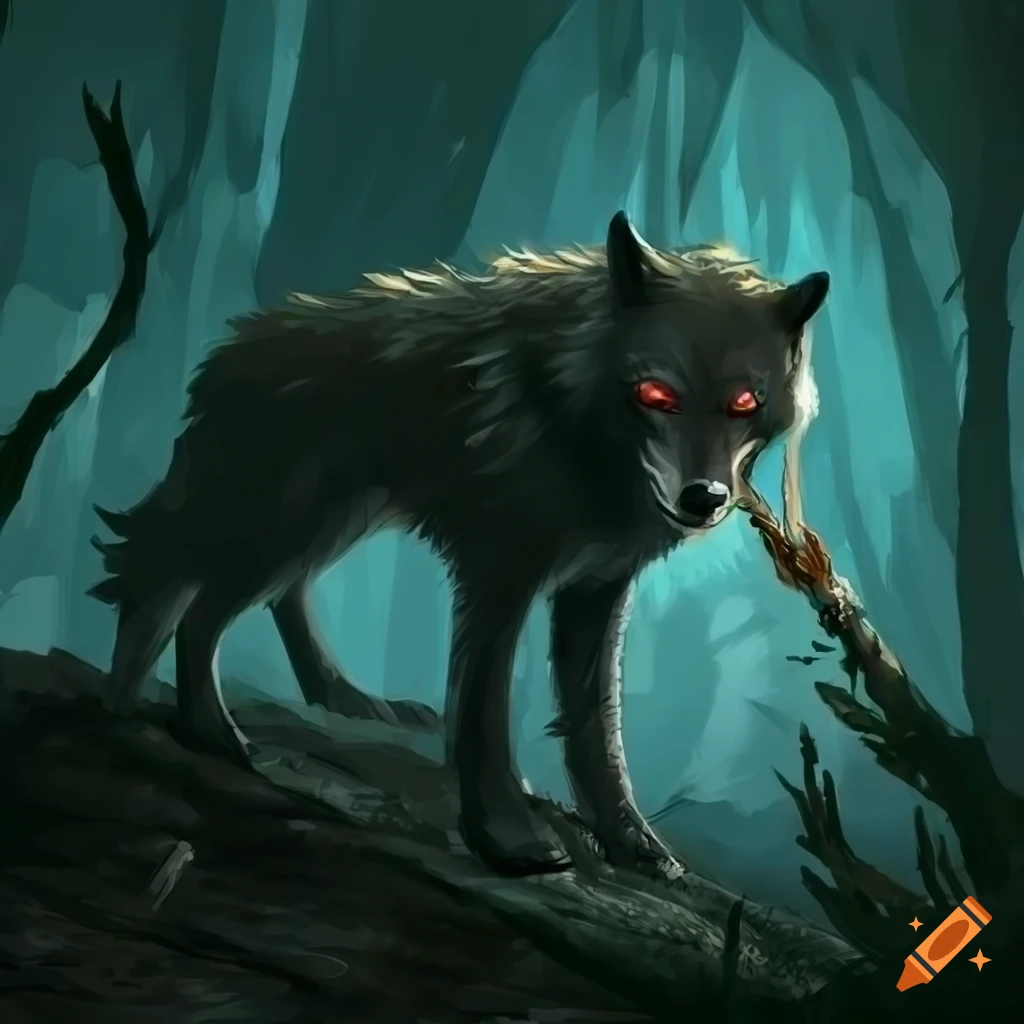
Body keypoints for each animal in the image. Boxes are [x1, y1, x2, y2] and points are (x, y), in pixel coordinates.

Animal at [91, 211, 829, 877]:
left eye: (744, 403)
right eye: (656, 393)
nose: (703, 498)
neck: (574, 422)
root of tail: (220, 358)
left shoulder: (597, 586)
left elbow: (595, 727)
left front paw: (632, 844)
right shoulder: (498, 570)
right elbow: (482, 709)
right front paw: (510, 839)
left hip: (327, 527)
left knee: (258, 596)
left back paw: (335, 703)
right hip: (281, 528)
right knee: (195, 605)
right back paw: (204, 730)